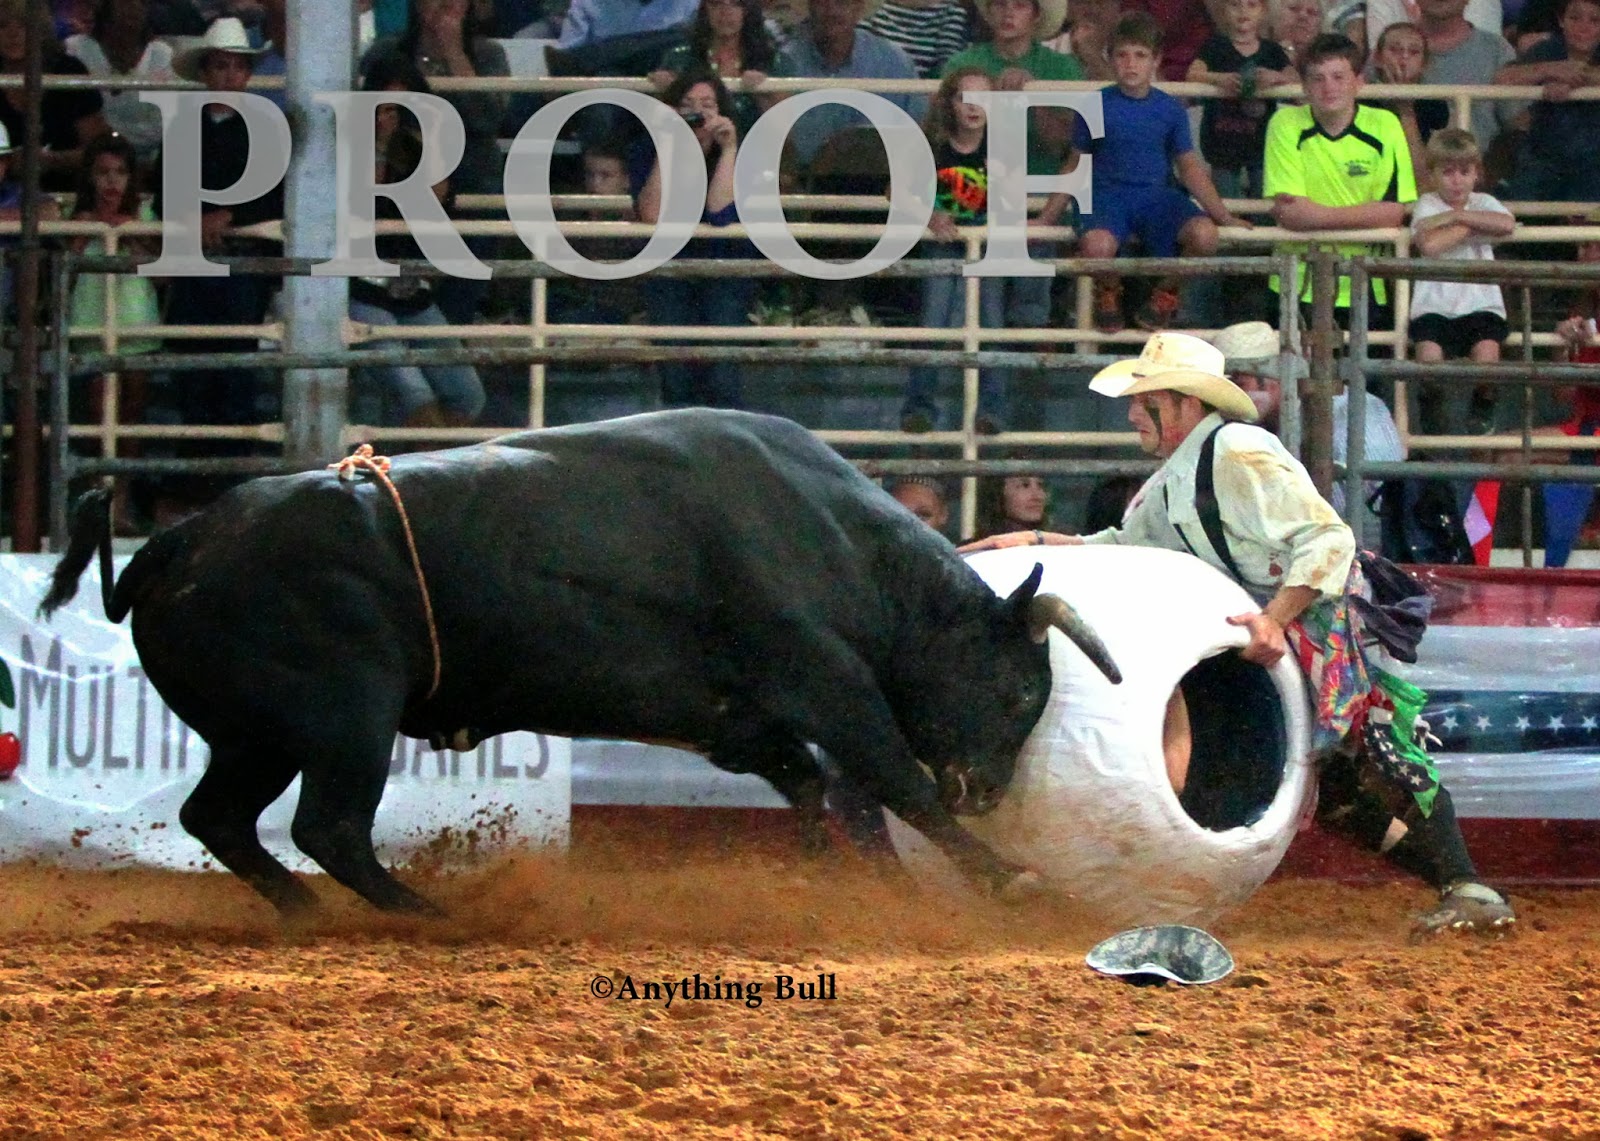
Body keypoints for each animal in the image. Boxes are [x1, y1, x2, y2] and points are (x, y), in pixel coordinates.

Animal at [40, 409, 1119, 916]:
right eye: (1017, 687)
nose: (989, 789)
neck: (831, 536)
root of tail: (181, 539)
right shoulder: (825, 679)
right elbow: (894, 779)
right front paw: (1008, 881)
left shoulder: (738, 721)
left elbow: (815, 792)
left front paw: (849, 887)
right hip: (346, 715)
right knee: (328, 824)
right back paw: (427, 913)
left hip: (257, 732)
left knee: (221, 818)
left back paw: (308, 909)